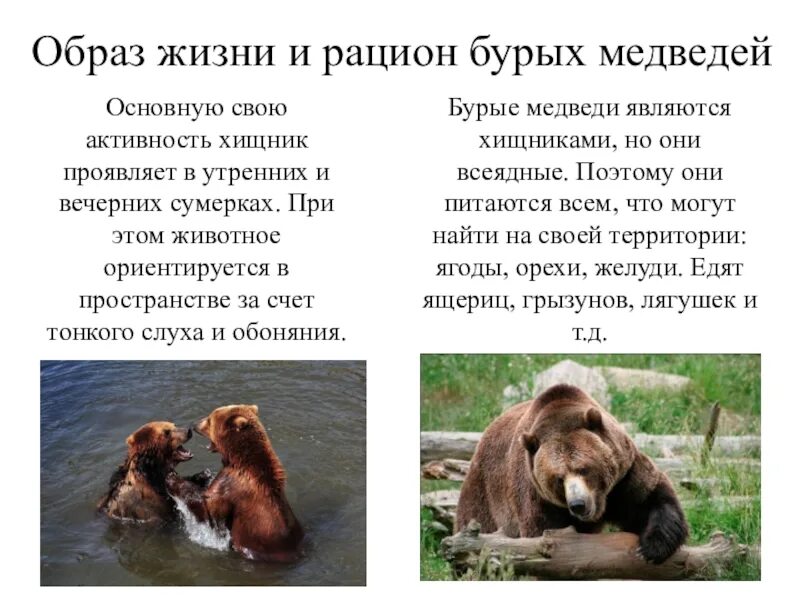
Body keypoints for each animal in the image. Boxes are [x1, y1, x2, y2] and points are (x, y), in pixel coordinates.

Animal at [166, 404, 304, 562]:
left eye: (209, 420)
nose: (195, 424)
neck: (239, 461)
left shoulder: (232, 486)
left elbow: (207, 510)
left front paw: (173, 478)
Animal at [455, 384, 688, 564]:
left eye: (584, 469)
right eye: (558, 479)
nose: (578, 504)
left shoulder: (622, 477)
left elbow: (650, 499)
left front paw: (650, 548)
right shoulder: (538, 497)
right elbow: (544, 535)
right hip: (485, 495)